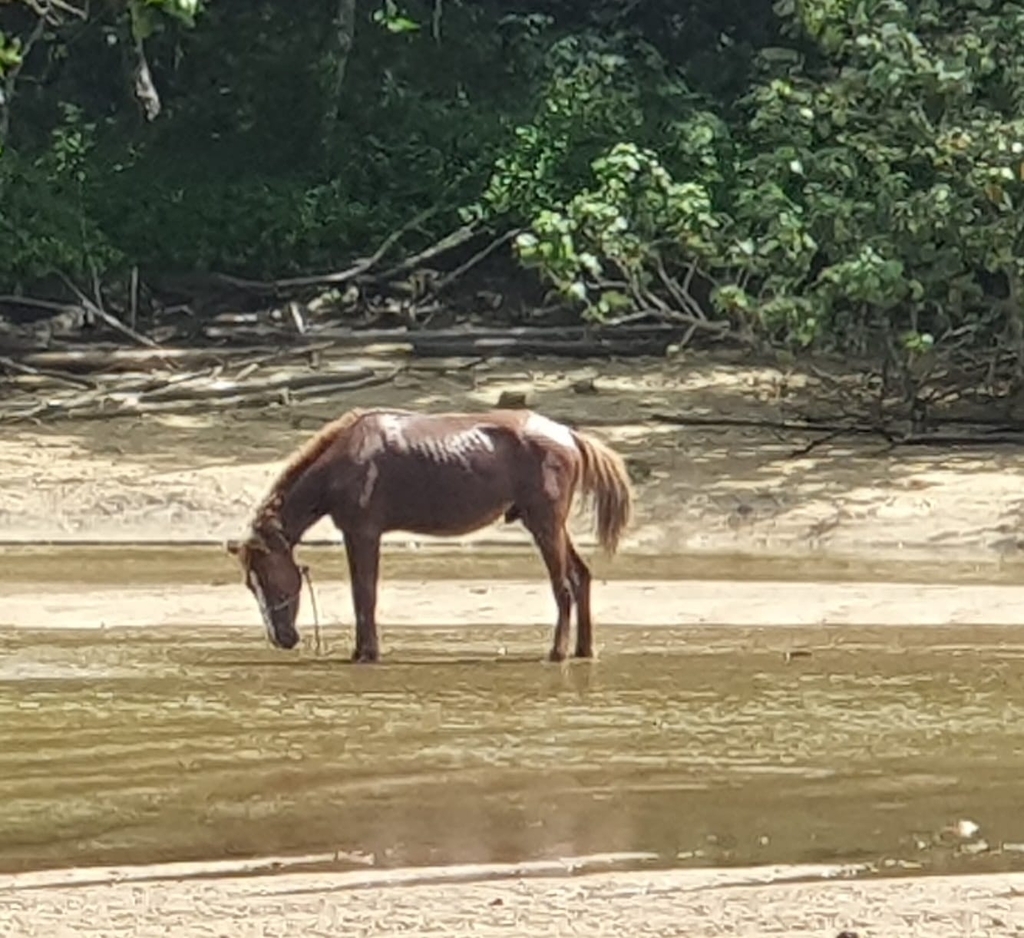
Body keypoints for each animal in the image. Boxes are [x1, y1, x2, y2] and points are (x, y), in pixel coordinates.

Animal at [226, 407, 633, 663]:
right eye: (249, 583)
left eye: (266, 577)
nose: (282, 639)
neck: (345, 461)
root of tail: (569, 435)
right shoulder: (355, 534)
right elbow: (361, 595)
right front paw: (361, 650)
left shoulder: (363, 533)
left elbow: (365, 594)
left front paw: (368, 653)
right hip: (550, 524)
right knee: (581, 576)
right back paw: (584, 651)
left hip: (544, 523)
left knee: (562, 586)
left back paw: (557, 653)